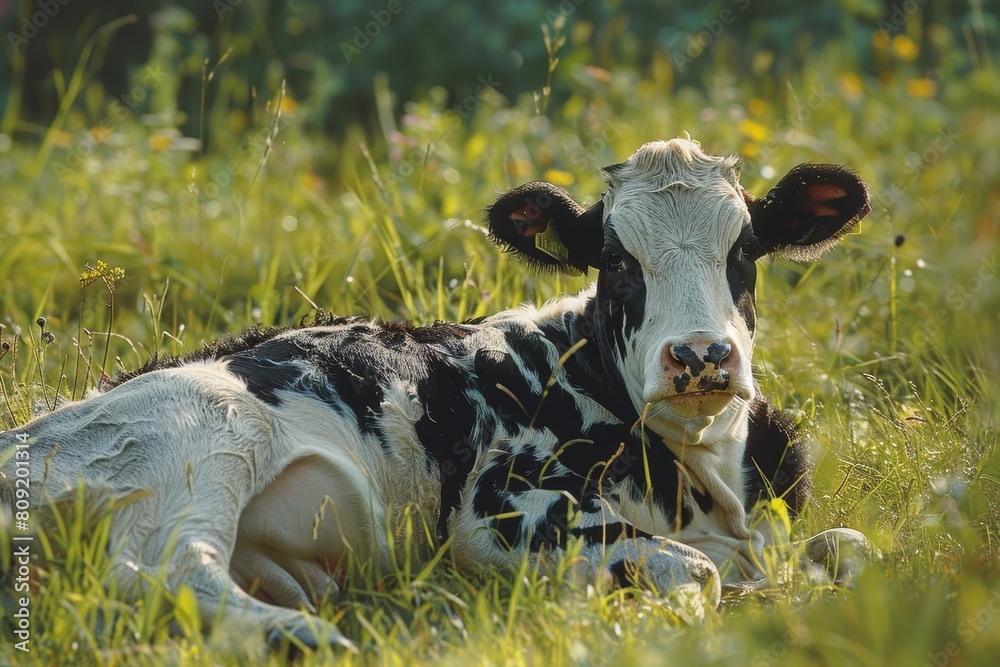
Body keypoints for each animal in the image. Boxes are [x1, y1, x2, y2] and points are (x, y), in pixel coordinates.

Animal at [1, 139, 873, 650]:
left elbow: (852, 545)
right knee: (165, 572)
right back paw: (312, 642)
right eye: (617, 259)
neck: (707, 478)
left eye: (746, 249)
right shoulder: (500, 508)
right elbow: (695, 573)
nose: (699, 354)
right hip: (196, 441)